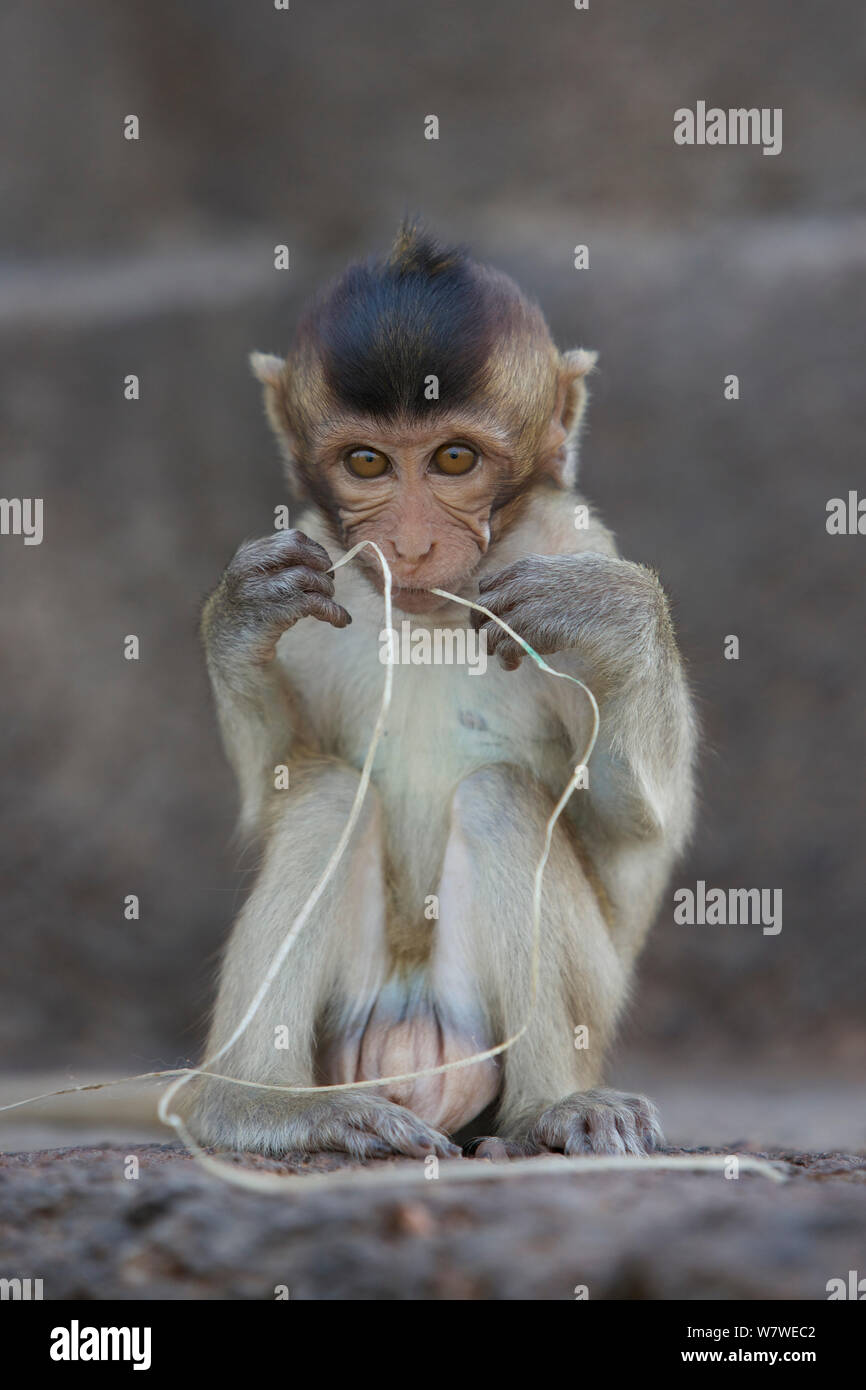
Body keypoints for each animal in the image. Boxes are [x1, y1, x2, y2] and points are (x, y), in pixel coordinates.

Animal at [183, 222, 696, 1161]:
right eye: (368, 462)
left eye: (455, 458)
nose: (413, 545)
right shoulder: (320, 564)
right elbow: (274, 785)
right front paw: (239, 613)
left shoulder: (571, 543)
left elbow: (638, 832)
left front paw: (614, 615)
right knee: (329, 797)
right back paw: (260, 1108)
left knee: (501, 801)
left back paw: (550, 1110)